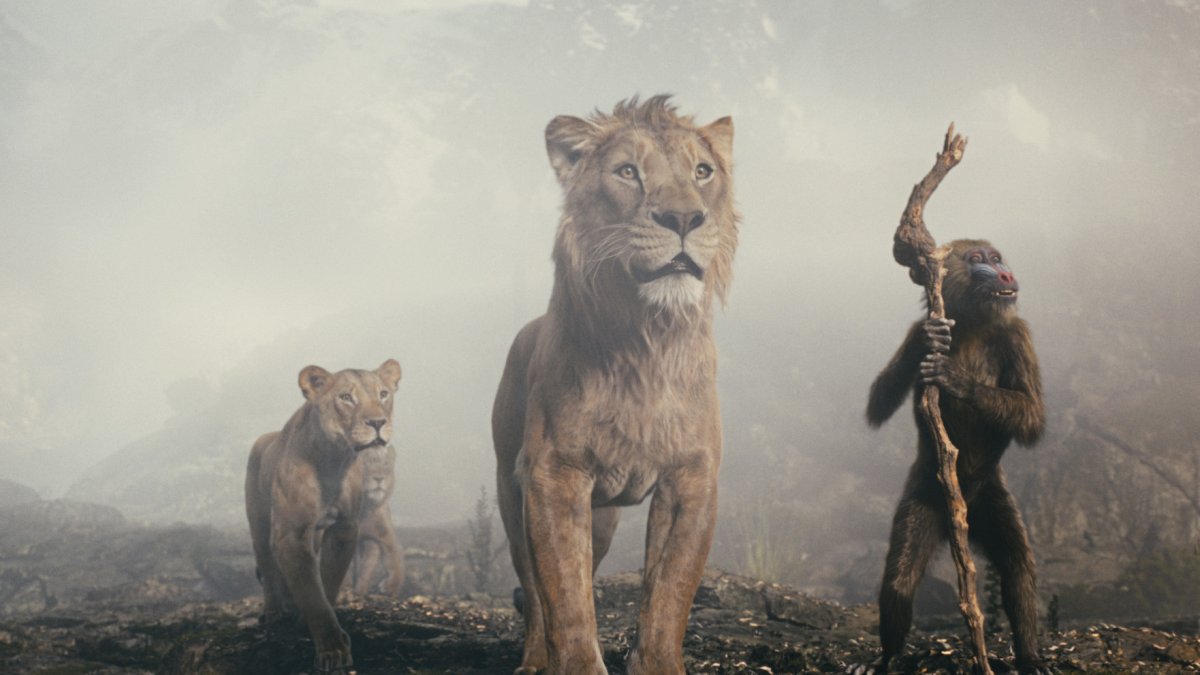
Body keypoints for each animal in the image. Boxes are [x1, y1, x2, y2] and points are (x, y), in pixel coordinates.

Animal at [348, 443, 405, 597]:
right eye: (366, 464)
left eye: (385, 465)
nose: (379, 478)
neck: (365, 507)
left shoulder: (380, 536)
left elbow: (394, 557)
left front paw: (391, 587)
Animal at [492, 95, 738, 675]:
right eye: (628, 172)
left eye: (703, 171)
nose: (683, 218)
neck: (647, 340)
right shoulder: (553, 474)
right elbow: (566, 598)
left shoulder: (692, 477)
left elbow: (669, 593)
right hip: (512, 492)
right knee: (534, 591)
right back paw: (534, 659)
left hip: (601, 518)